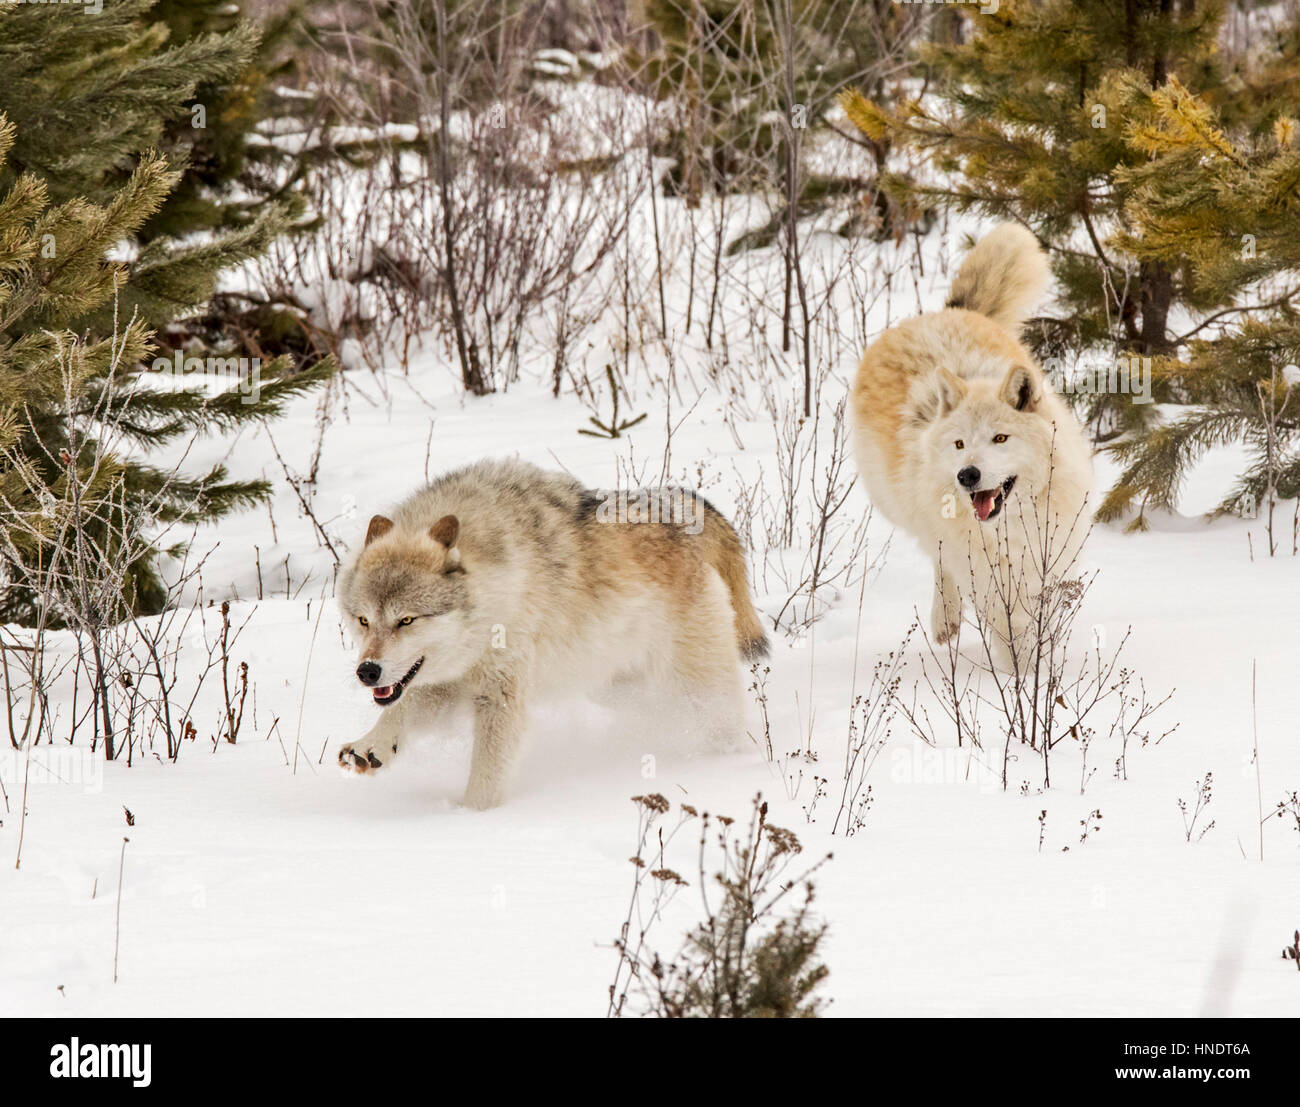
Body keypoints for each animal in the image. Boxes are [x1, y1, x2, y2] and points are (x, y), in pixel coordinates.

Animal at [335, 459, 768, 809]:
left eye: (406, 620)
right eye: (364, 620)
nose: (367, 671)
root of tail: (676, 507)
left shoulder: (498, 693)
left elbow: (487, 774)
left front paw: (471, 818)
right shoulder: (449, 682)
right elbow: (402, 707)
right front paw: (370, 747)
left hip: (697, 689)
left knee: (724, 725)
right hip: (613, 685)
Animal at [850, 224, 1093, 663]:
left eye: (1000, 438)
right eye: (960, 444)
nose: (968, 475)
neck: (1008, 530)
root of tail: (940, 313)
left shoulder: (1044, 562)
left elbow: (1036, 620)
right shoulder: (984, 573)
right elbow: (1008, 629)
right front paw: (1020, 674)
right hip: (905, 508)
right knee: (939, 559)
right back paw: (944, 619)